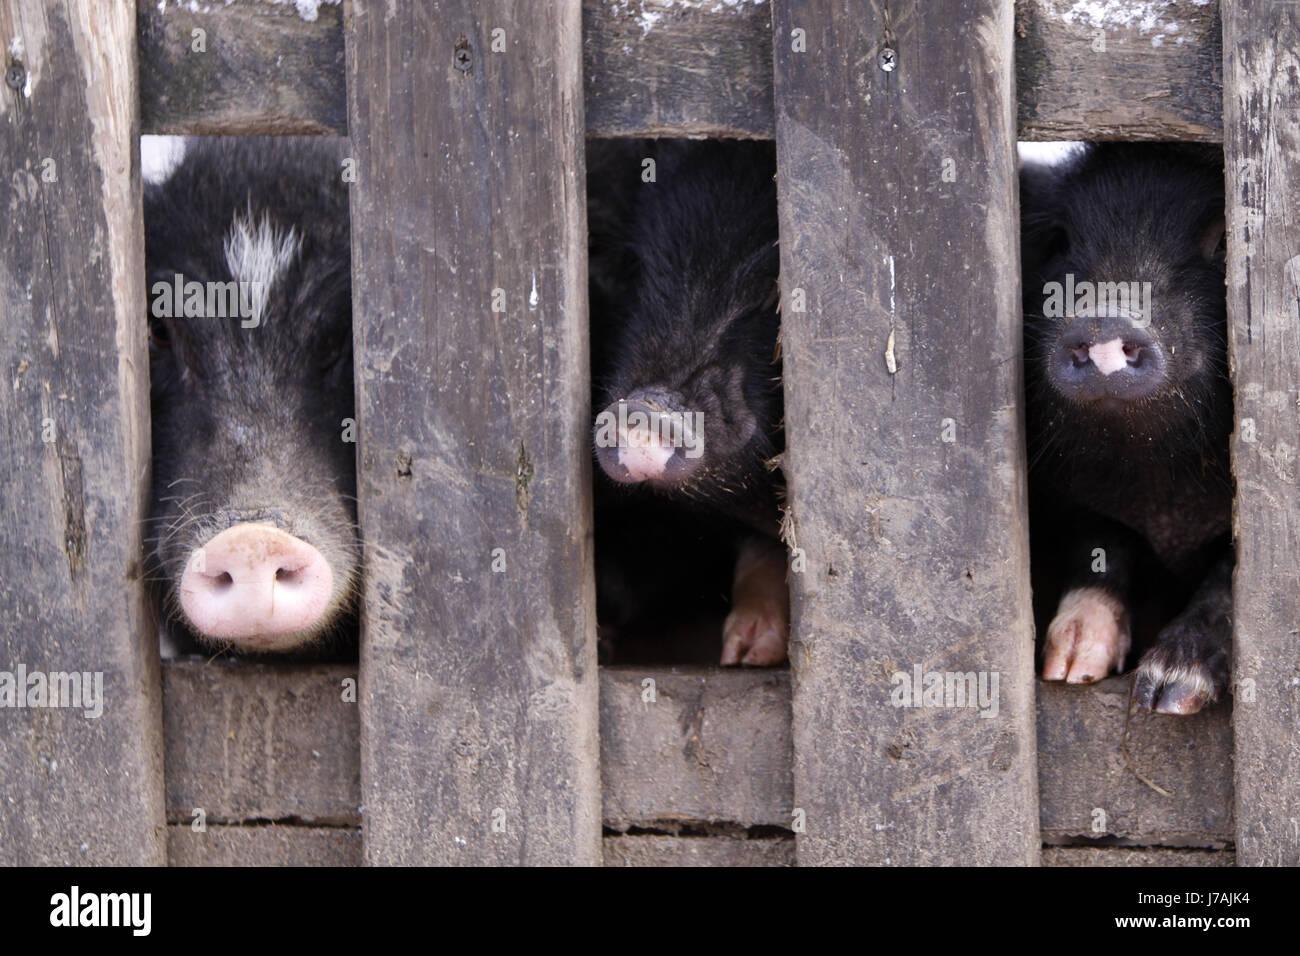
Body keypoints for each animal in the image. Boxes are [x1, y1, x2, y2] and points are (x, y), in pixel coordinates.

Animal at [1021, 143, 1232, 714]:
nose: (1104, 317)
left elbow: (1229, 576)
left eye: (1223, 240)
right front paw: (1070, 671)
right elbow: (1102, 541)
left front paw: (1169, 694)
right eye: (1060, 239)